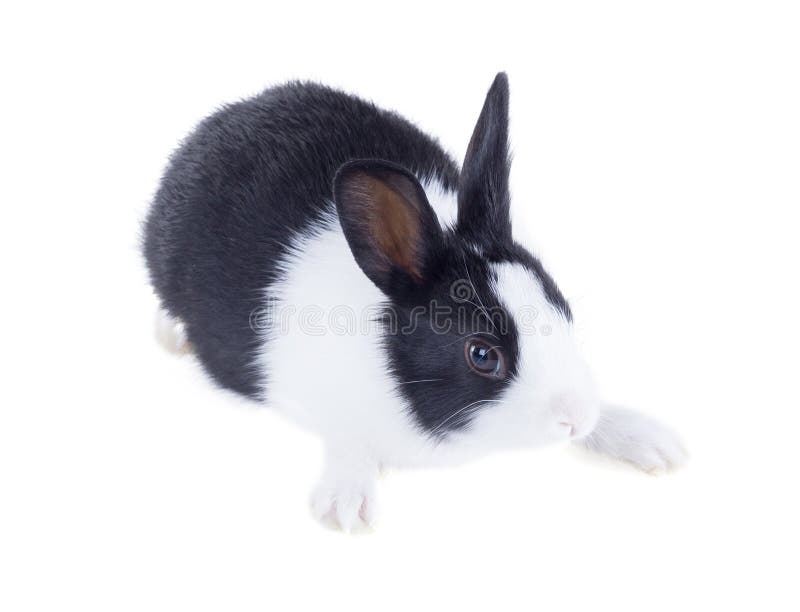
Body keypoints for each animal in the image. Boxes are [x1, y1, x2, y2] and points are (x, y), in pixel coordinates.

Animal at [143, 73, 686, 531]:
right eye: (482, 354)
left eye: (563, 311)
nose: (573, 419)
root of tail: (225, 117)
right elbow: (346, 438)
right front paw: (346, 504)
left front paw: (648, 440)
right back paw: (171, 335)